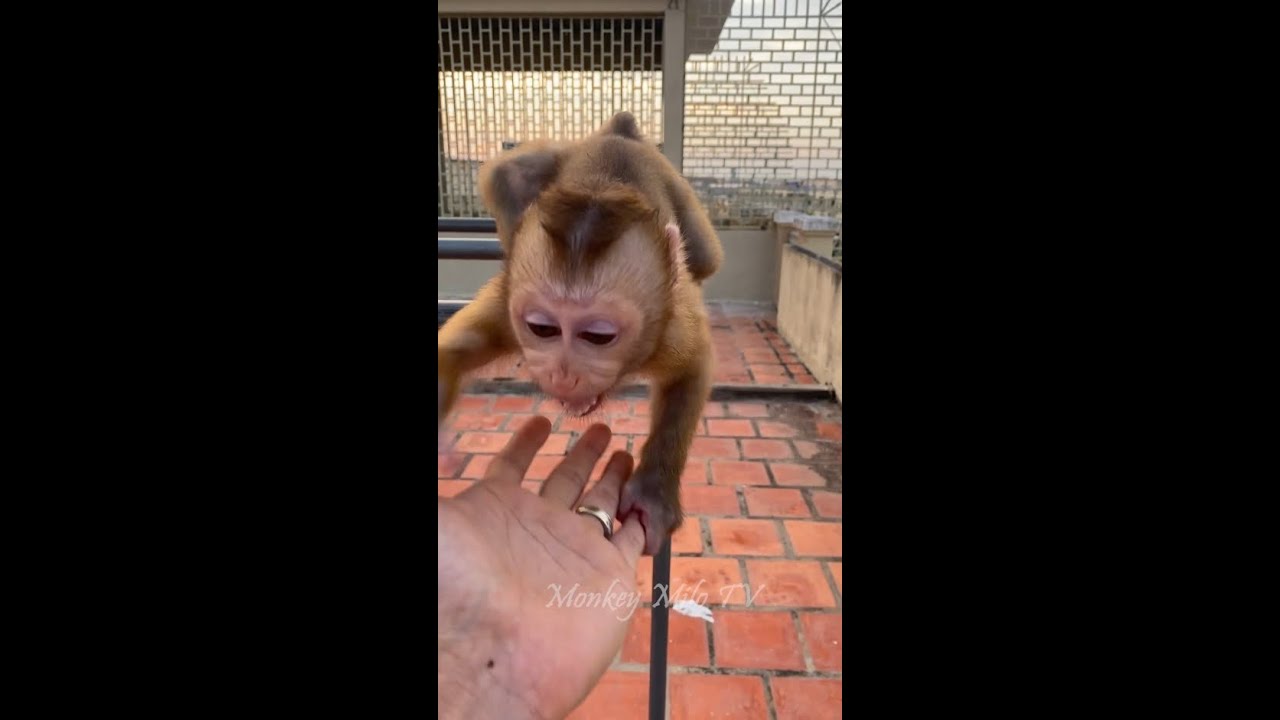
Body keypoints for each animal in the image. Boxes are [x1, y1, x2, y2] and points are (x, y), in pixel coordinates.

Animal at [437, 112, 723, 556]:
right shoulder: (508, 307)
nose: (563, 373)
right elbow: (455, 349)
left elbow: (694, 368)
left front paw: (653, 495)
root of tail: (620, 133)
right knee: (506, 175)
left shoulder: (671, 324)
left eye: (598, 336)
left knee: (706, 257)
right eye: (542, 329)